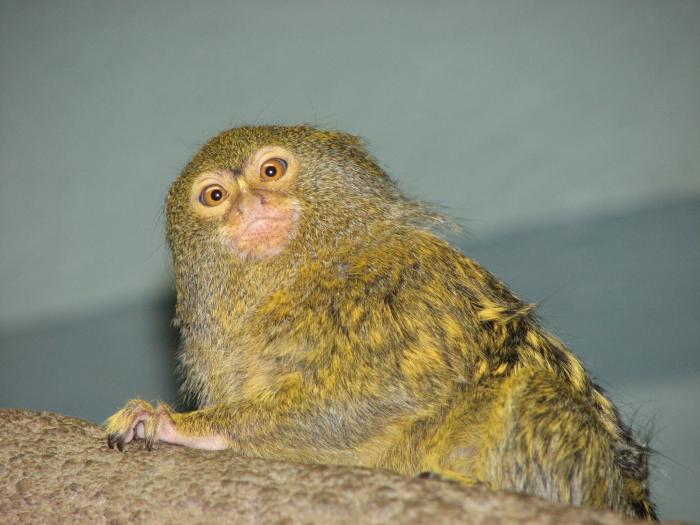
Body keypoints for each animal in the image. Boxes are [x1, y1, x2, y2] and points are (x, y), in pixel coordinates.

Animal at [105, 125, 656, 520]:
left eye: (271, 170)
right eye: (215, 197)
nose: (250, 205)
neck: (302, 273)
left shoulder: (407, 281)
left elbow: (393, 387)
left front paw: (181, 425)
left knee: (538, 390)